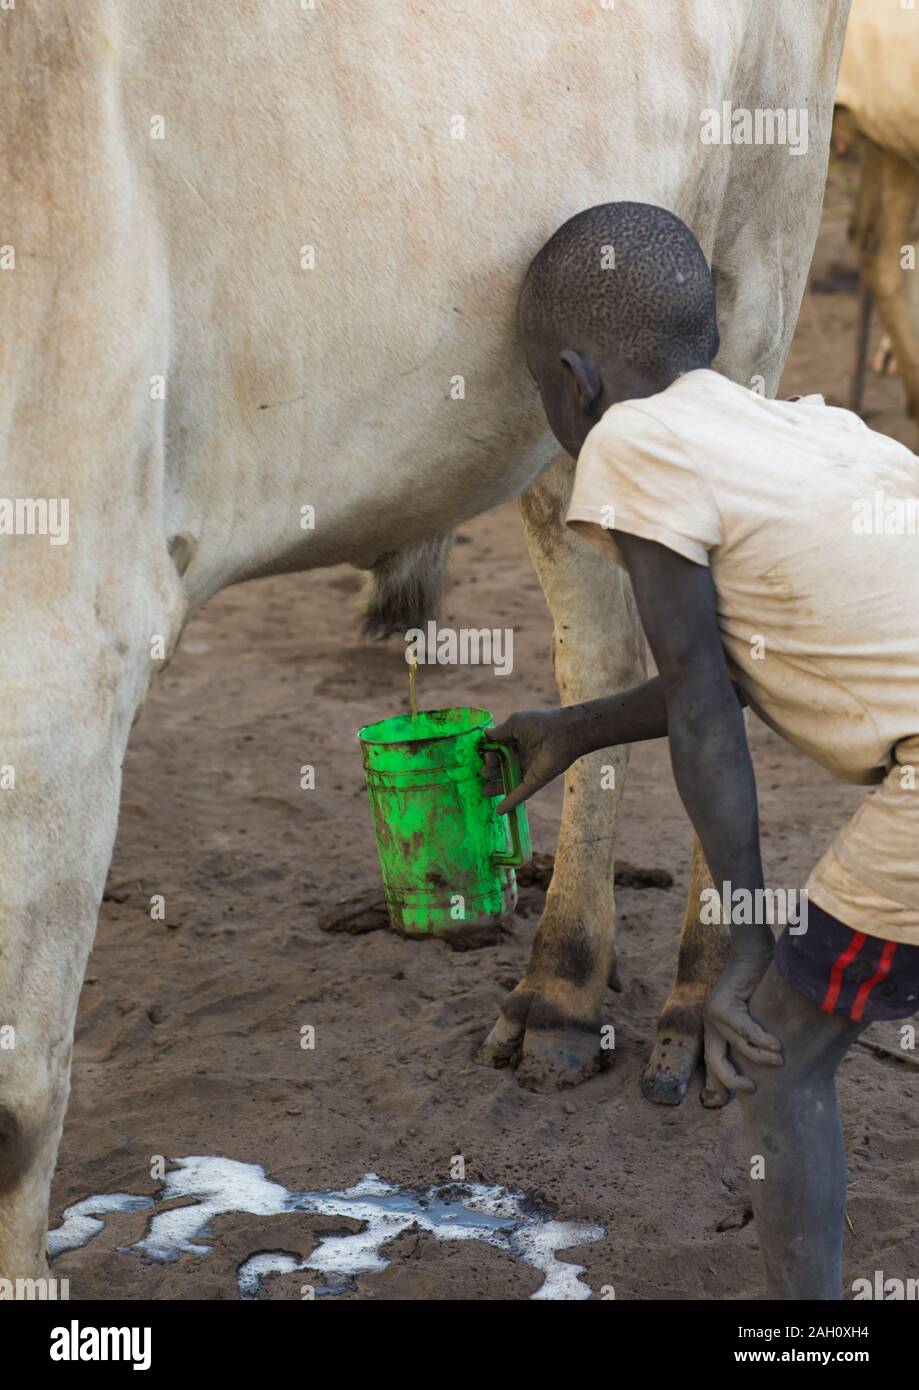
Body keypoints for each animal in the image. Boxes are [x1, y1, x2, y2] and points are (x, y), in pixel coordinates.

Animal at [1, 0, 850, 1281]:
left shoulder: (63, 654)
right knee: (603, 641)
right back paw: (559, 990)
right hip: (562, 406)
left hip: (762, 252)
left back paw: (700, 994)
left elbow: (18, 1104)